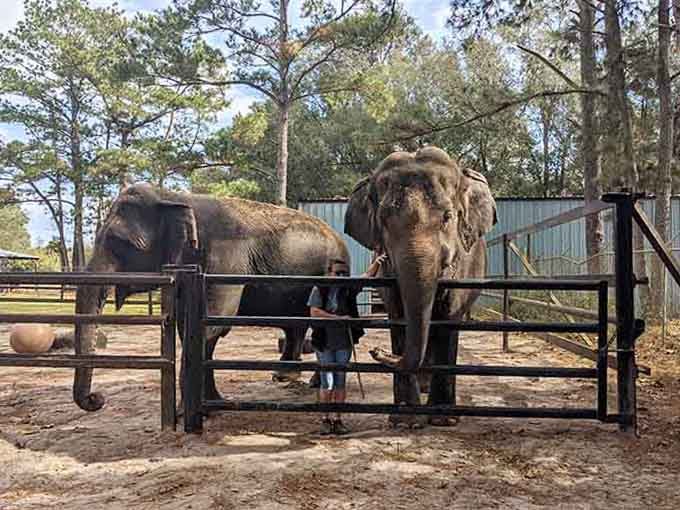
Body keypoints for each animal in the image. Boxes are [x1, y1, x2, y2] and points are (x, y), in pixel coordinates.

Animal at [73, 183, 350, 412]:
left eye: (120, 244)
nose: (97, 398)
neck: (173, 197)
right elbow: (190, 326)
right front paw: (212, 403)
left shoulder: (226, 260)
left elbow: (213, 323)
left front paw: (189, 411)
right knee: (296, 325)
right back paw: (286, 378)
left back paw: (313, 383)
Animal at [344, 146, 496, 426]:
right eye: (383, 220)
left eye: (448, 217)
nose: (375, 350)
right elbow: (399, 318)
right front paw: (405, 420)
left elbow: (448, 320)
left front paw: (443, 420)